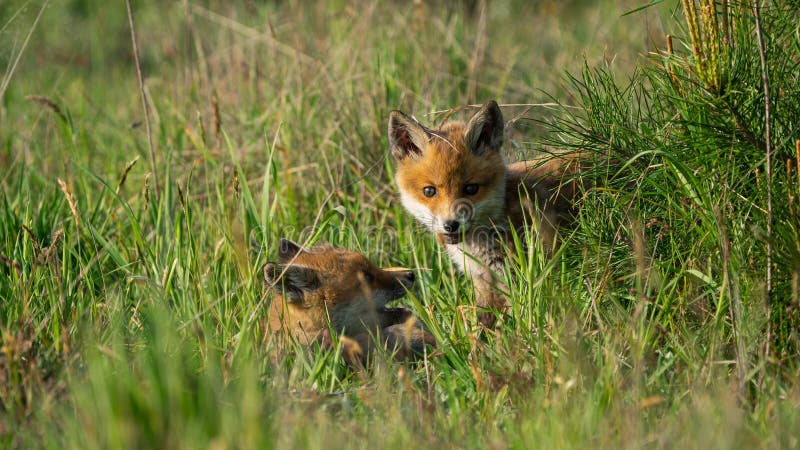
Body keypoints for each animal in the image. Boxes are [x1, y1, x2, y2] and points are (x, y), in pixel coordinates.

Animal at [388, 100, 584, 327]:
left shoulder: (517, 279)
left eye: (471, 189)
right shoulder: (483, 282)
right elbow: (481, 324)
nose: (451, 225)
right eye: (429, 191)